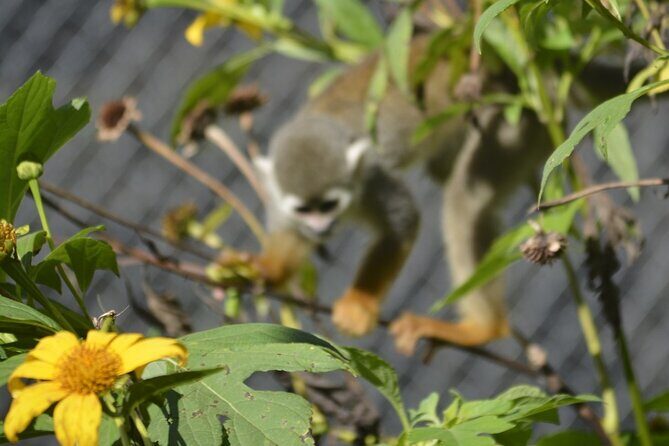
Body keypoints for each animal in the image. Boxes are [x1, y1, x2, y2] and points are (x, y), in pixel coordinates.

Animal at [253, 34, 556, 354]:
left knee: (464, 201)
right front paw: (268, 270)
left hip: (514, 121)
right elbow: (291, 233)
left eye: (329, 204)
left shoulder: (373, 177)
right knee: (444, 171)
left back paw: (480, 329)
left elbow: (402, 224)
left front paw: (359, 304)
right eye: (303, 210)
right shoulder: (277, 196)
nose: (321, 227)